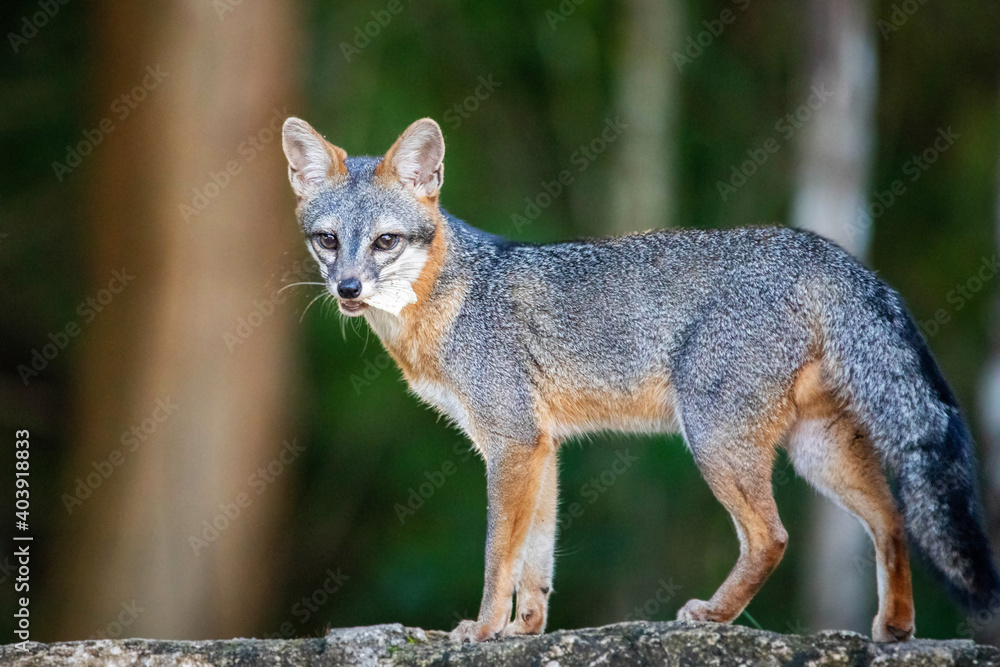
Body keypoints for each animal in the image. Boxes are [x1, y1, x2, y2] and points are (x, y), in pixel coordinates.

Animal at [280, 115, 1000, 643]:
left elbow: (498, 557)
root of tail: (815, 247)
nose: (346, 289)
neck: (450, 297)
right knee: (892, 518)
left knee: (772, 537)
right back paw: (895, 627)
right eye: (327, 241)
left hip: (714, 440)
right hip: (814, 451)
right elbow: (536, 560)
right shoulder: (540, 447)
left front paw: (482, 630)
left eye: (385, 242)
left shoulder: (512, 444)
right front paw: (525, 630)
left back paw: (715, 616)